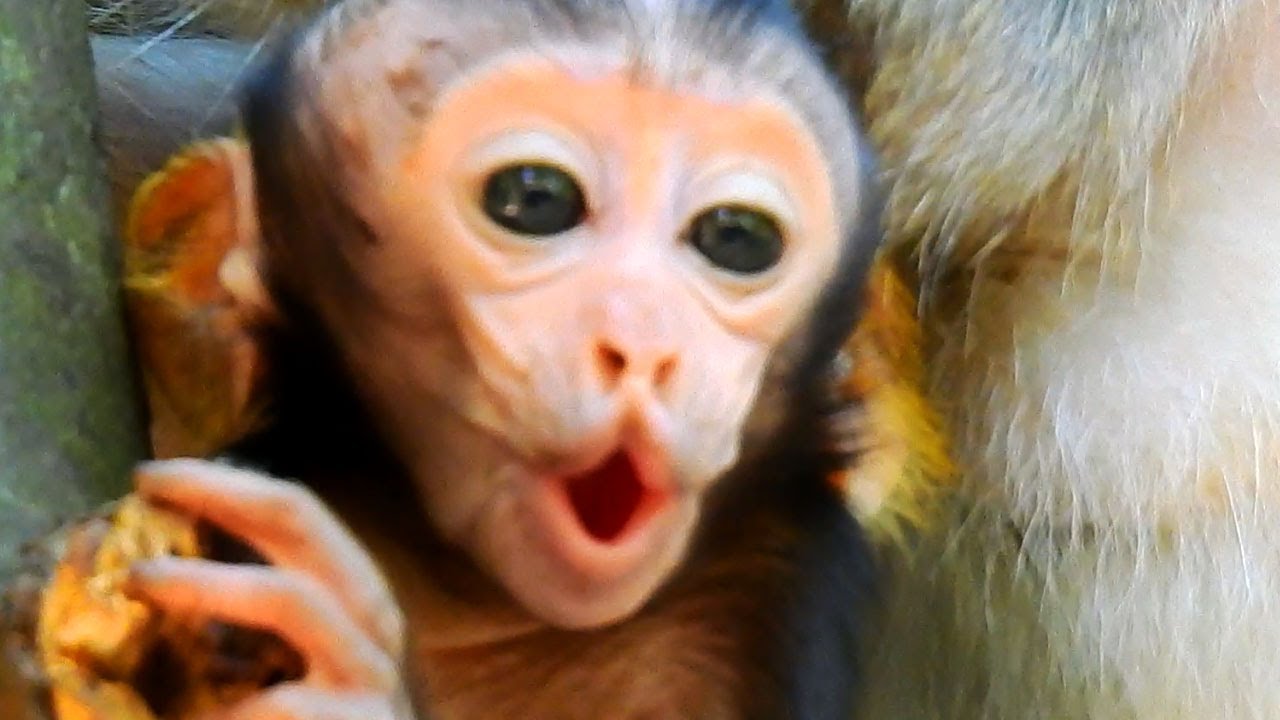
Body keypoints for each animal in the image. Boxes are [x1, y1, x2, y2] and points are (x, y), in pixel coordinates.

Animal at [66, 1, 891, 718]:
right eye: (535, 198)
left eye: (737, 237)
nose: (646, 345)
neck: (464, 597)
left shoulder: (748, 595)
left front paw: (353, 688)